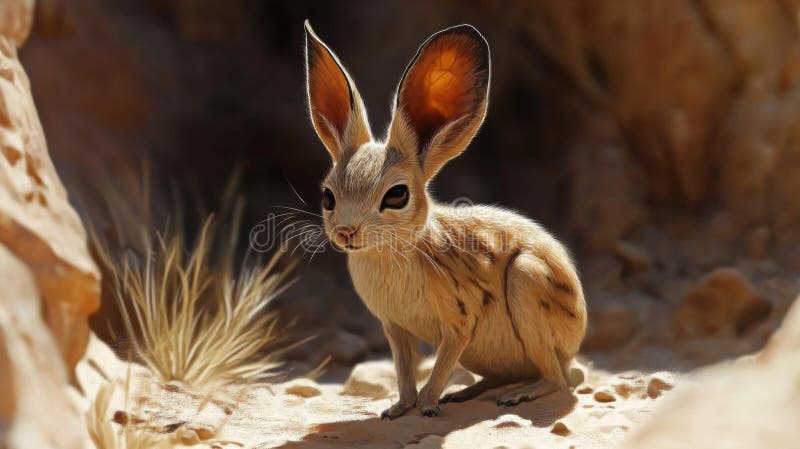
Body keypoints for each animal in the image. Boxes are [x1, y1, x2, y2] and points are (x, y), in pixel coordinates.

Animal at [303, 20, 587, 419]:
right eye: (328, 196)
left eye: (396, 195)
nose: (346, 231)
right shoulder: (394, 327)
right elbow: (403, 369)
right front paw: (398, 408)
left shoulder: (459, 322)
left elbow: (438, 366)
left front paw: (426, 407)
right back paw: (466, 393)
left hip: (526, 281)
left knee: (558, 379)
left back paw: (517, 395)